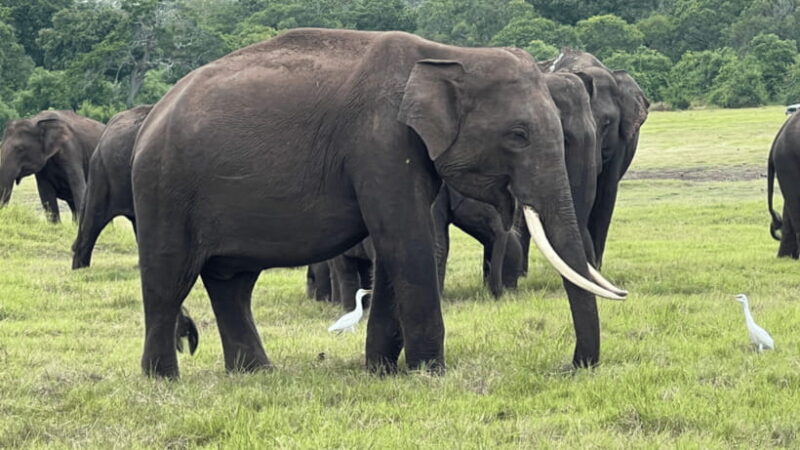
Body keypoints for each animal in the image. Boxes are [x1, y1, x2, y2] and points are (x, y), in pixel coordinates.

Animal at [130, 28, 624, 378]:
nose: (572, 366)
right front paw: (430, 372)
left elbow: (395, 246)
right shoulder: (380, 141)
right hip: (163, 190)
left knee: (232, 281)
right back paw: (163, 378)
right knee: (169, 280)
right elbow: (406, 241)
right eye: (518, 135)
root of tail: (153, 116)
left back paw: (256, 372)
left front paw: (382, 370)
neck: (448, 54)